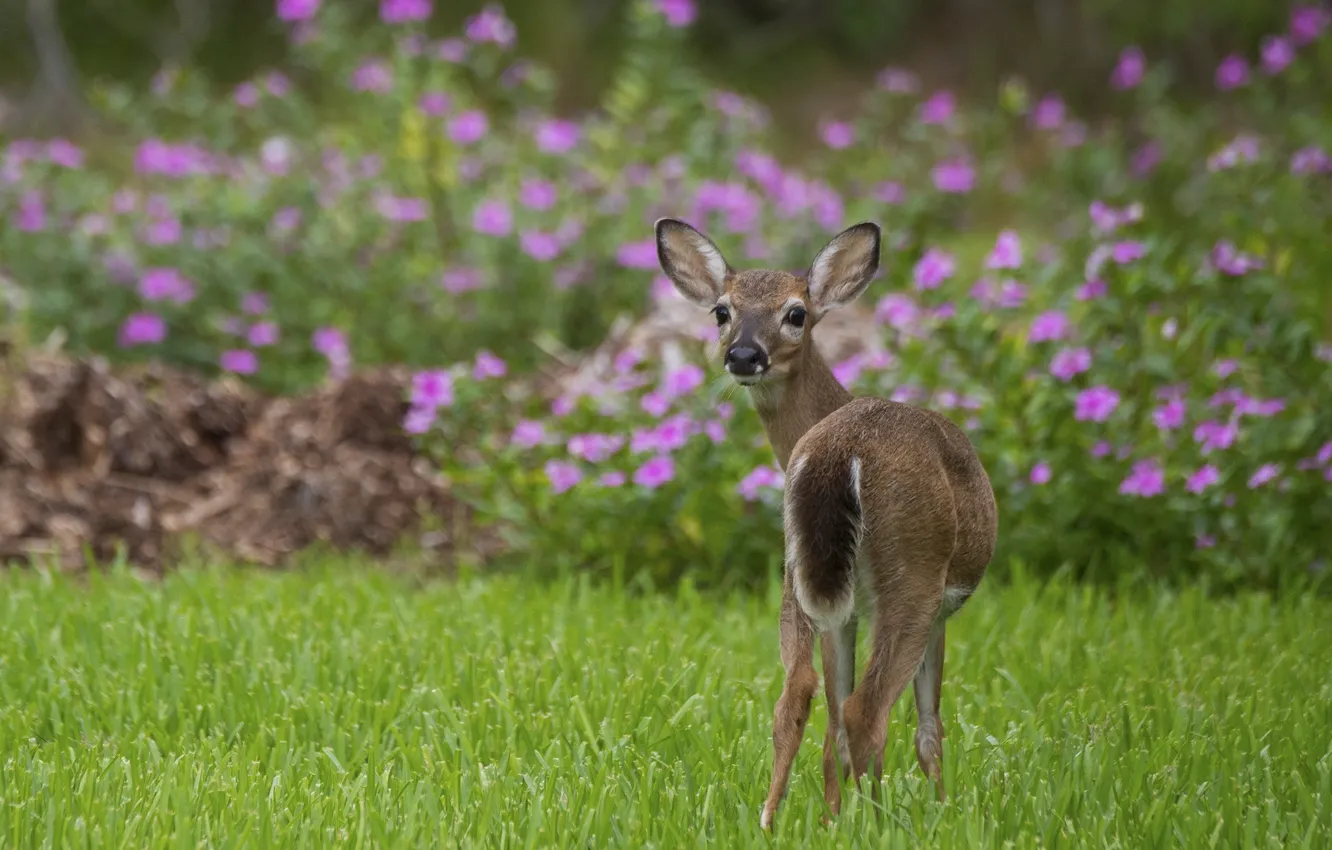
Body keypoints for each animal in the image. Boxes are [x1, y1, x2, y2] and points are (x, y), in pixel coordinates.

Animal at [653, 218, 998, 829]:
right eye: (722, 310)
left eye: (796, 312)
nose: (743, 355)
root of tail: (840, 453)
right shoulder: (937, 609)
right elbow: (928, 728)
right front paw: (941, 809)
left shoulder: (839, 606)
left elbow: (826, 717)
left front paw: (833, 815)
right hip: (913, 569)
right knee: (868, 710)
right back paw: (881, 825)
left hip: (800, 570)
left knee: (797, 696)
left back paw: (775, 819)